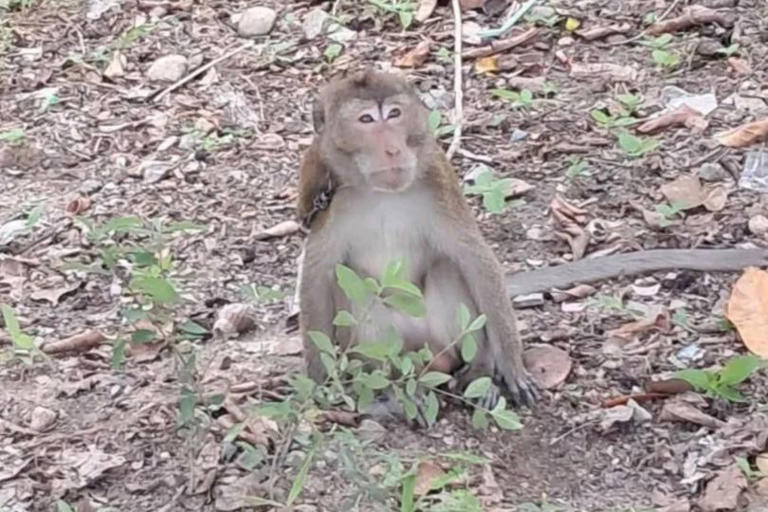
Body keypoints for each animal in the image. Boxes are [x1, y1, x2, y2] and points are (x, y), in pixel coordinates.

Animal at [296, 69, 536, 411]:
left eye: (394, 114)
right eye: (366, 119)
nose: (393, 149)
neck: (381, 193)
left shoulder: (437, 181)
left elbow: (474, 259)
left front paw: (512, 365)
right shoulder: (329, 200)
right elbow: (317, 277)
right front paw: (319, 382)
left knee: (447, 267)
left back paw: (477, 370)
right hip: (393, 346)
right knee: (354, 285)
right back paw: (395, 387)